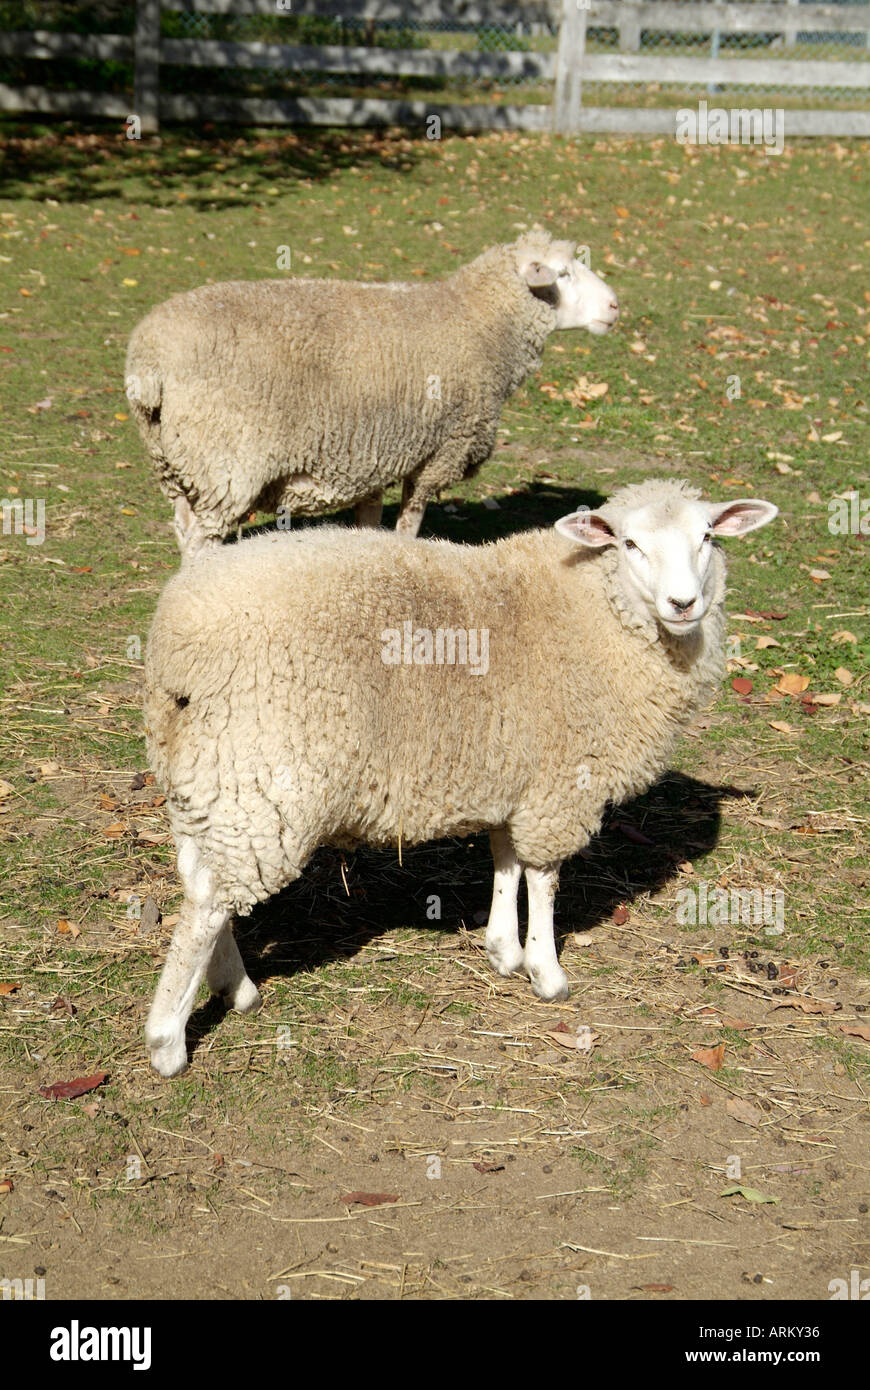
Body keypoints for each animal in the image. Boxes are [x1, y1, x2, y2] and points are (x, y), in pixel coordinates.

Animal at [124, 232, 618, 558]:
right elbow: (409, 522)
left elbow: (369, 518)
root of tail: (148, 362)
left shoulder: (373, 451)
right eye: (563, 274)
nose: (614, 306)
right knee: (201, 540)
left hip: (175, 460)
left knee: (183, 526)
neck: (480, 323)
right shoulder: (438, 451)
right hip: (224, 460)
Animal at [142, 477, 777, 1077]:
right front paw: (546, 971)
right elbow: (544, 878)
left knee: (199, 880)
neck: (594, 607)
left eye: (708, 537)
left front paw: (503, 950)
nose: (683, 603)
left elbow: (505, 859)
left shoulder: (513, 775)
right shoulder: (558, 787)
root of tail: (178, 638)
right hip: (262, 779)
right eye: (629, 544)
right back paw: (168, 1041)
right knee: (207, 904)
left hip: (204, 774)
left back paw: (236, 988)